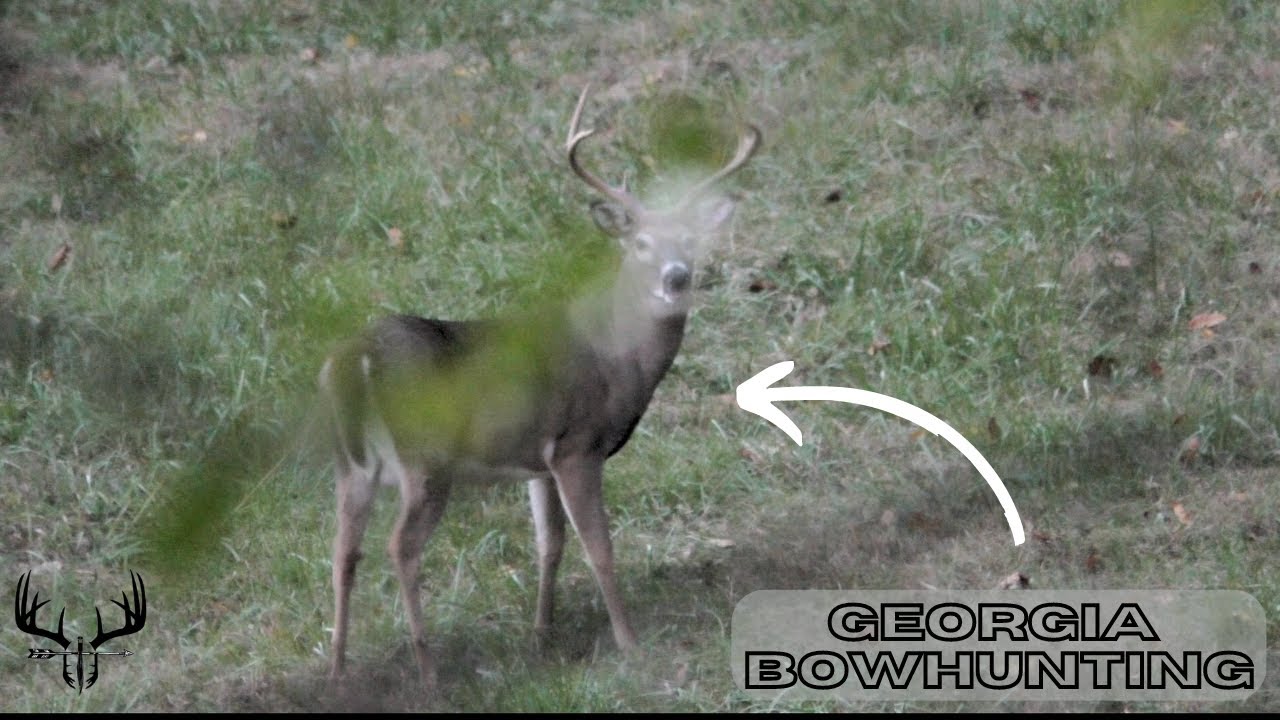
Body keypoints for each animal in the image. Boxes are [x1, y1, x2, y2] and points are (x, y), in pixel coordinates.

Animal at [318, 85, 761, 688]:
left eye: (690, 239)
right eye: (640, 243)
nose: (676, 277)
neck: (617, 355)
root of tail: (354, 359)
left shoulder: (538, 458)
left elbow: (549, 544)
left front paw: (542, 635)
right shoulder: (578, 444)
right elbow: (599, 547)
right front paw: (628, 642)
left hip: (353, 465)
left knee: (344, 551)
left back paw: (338, 668)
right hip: (425, 457)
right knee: (399, 548)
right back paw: (429, 669)